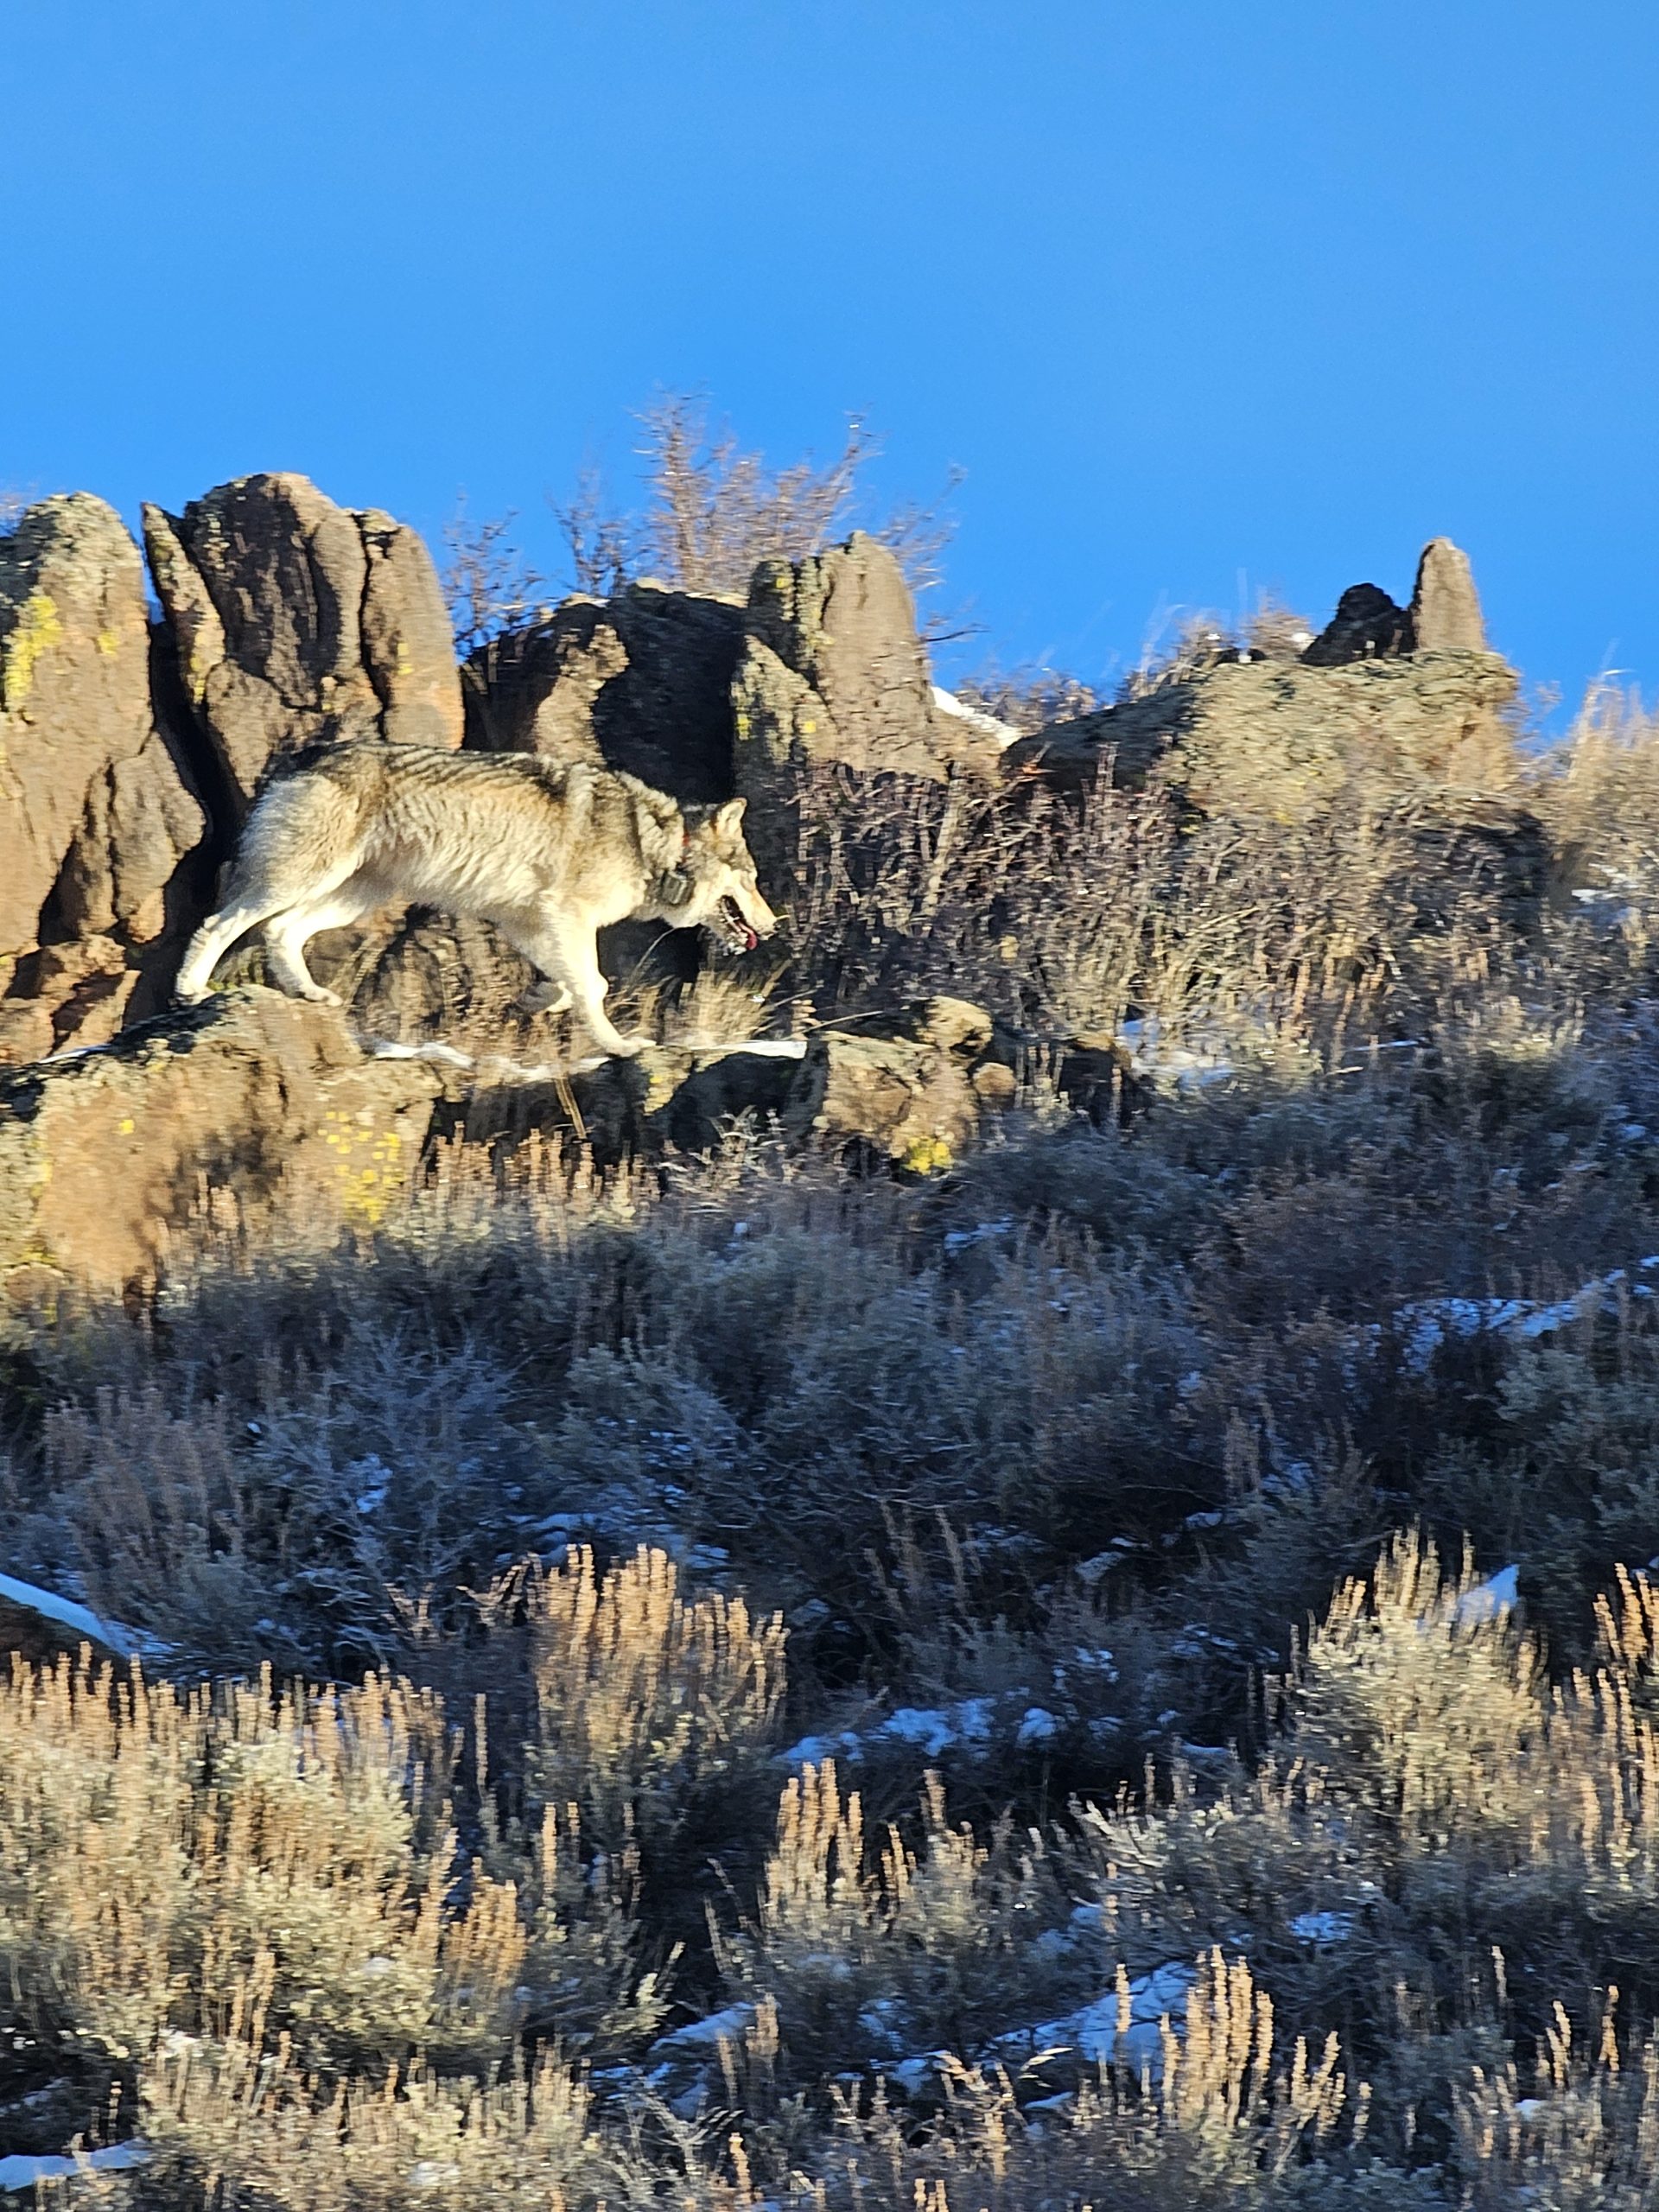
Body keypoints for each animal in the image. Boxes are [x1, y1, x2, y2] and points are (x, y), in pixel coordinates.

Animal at [174, 741, 778, 1057]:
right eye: (751, 880)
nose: (772, 927)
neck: (656, 844)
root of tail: (307, 753)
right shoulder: (567, 915)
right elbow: (595, 985)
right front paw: (620, 1046)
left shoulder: (530, 922)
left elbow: (576, 982)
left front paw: (541, 1001)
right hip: (303, 880)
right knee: (219, 923)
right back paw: (191, 990)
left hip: (355, 894)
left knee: (281, 932)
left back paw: (309, 993)